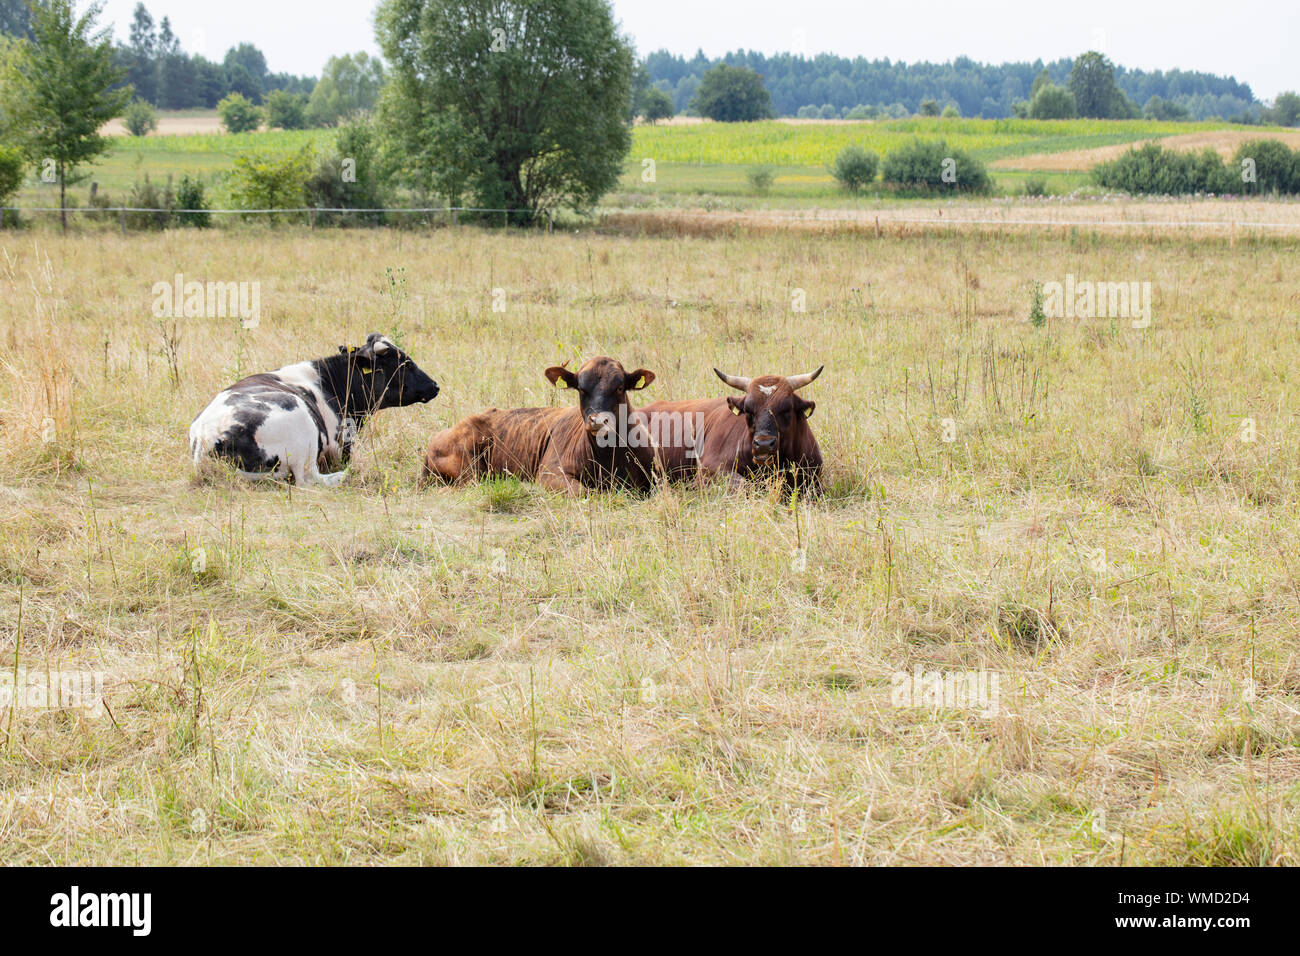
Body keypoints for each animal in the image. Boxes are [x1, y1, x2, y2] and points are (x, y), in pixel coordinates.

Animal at [189, 332, 439, 486]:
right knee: (309, 478)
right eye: (405, 363)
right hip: (302, 427)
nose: (434, 385)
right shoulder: (342, 445)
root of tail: (209, 434)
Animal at [422, 356, 657, 495]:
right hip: (468, 469)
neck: (609, 457)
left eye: (619, 387)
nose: (598, 420)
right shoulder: (550, 473)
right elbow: (584, 491)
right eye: (581, 389)